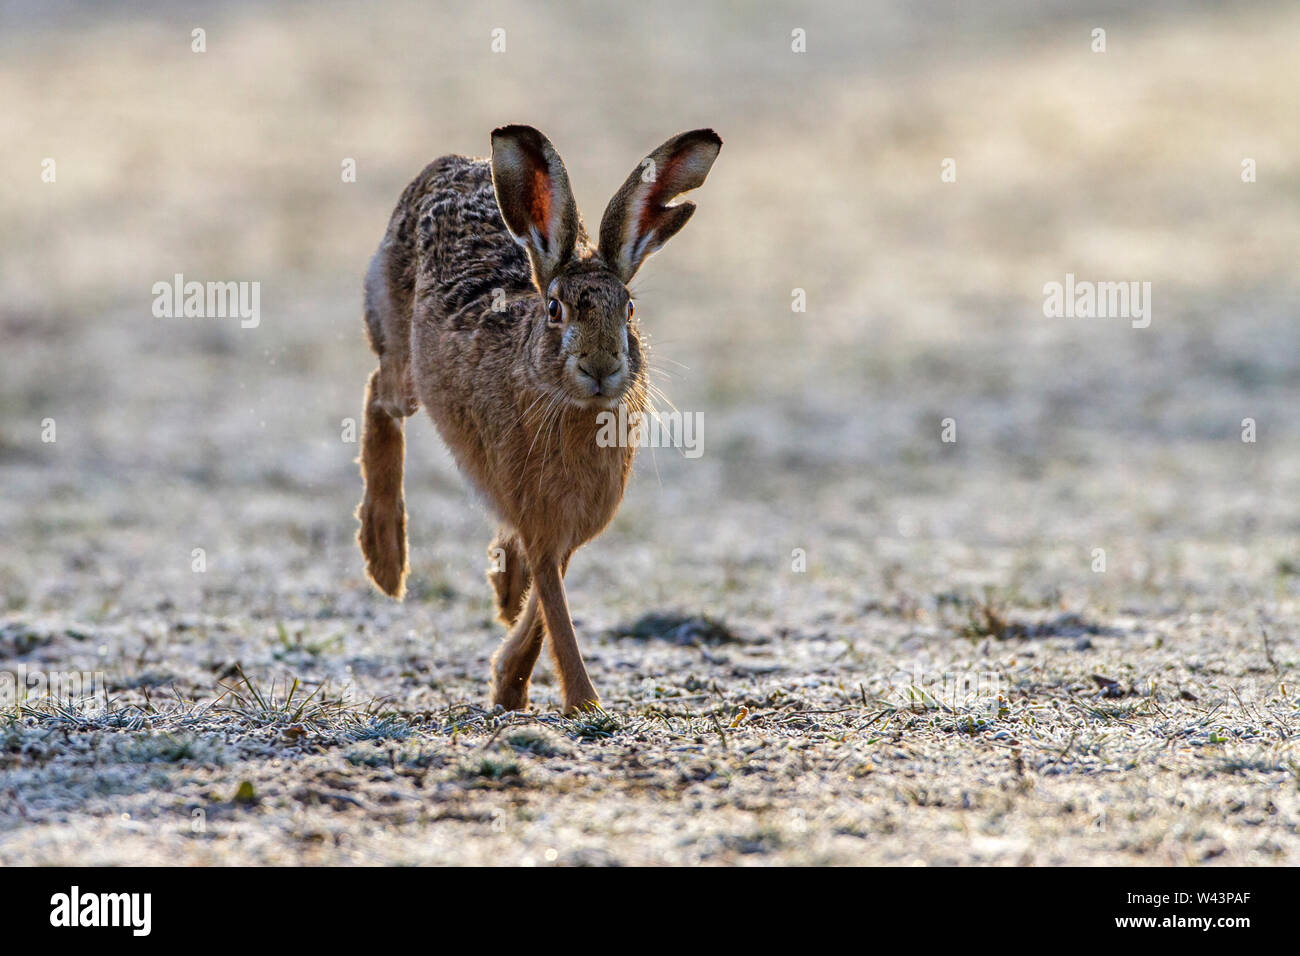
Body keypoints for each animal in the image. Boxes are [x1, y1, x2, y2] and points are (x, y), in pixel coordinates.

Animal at [356, 125, 722, 714]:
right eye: (555, 310)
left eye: (629, 310)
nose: (601, 366)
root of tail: (451, 164)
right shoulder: (540, 519)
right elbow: (554, 605)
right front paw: (584, 701)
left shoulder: (569, 524)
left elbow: (543, 604)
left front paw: (511, 684)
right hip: (402, 362)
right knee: (378, 395)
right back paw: (386, 557)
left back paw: (500, 590)